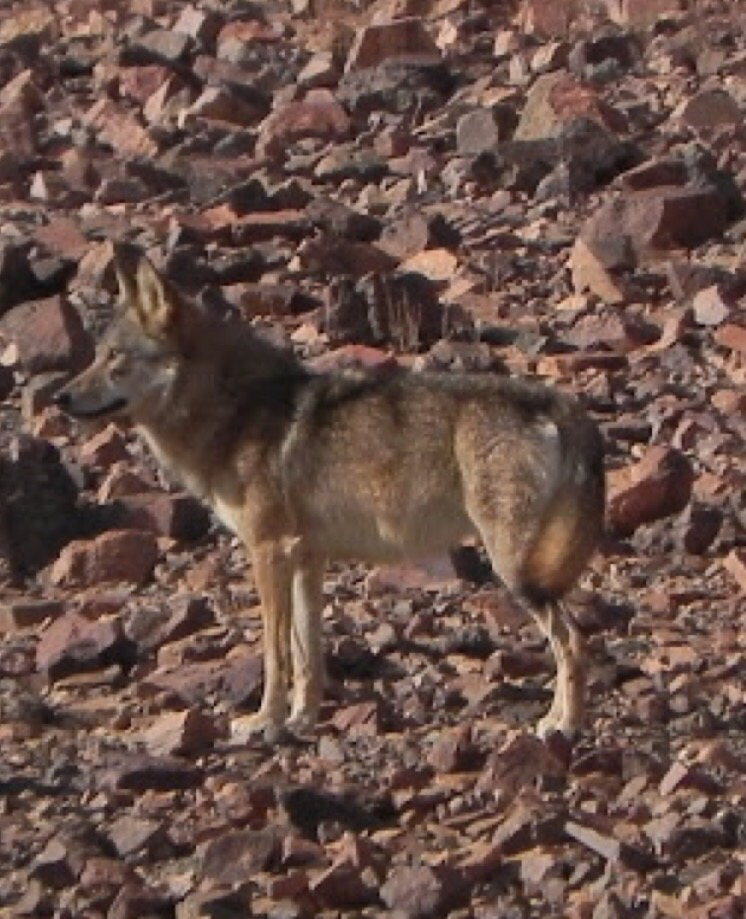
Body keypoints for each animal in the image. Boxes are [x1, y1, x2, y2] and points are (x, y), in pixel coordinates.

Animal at [55, 246, 605, 741]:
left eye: (114, 359)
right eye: (96, 356)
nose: (59, 397)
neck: (236, 412)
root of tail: (563, 405)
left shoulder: (268, 551)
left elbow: (275, 653)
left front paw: (263, 723)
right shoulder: (307, 558)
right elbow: (306, 654)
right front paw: (300, 721)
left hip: (516, 571)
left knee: (575, 642)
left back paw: (563, 725)